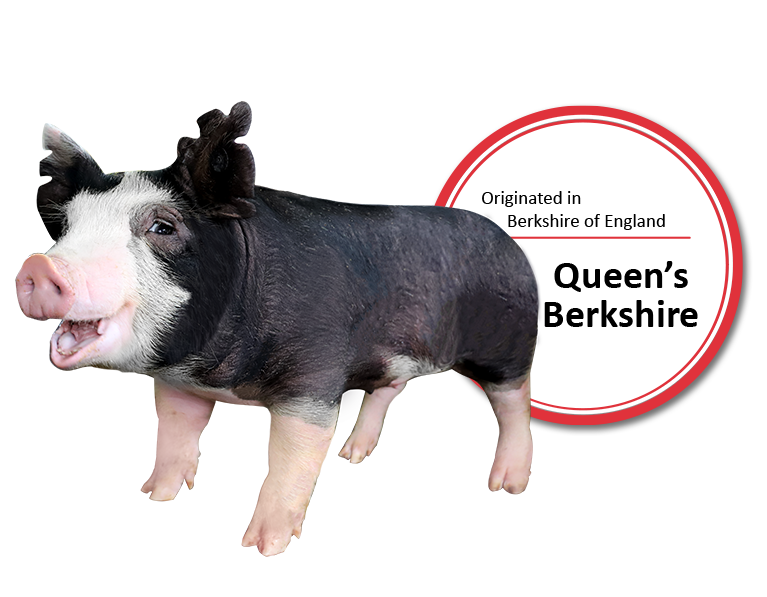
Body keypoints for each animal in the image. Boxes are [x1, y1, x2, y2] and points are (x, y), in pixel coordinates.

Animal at [16, 103, 538, 556]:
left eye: (162, 227)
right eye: (67, 226)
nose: (39, 266)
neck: (216, 373)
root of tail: (510, 241)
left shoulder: (313, 377)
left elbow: (291, 459)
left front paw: (262, 547)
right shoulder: (178, 387)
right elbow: (175, 438)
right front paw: (156, 497)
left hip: (509, 343)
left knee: (514, 403)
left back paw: (506, 483)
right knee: (390, 387)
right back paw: (354, 455)